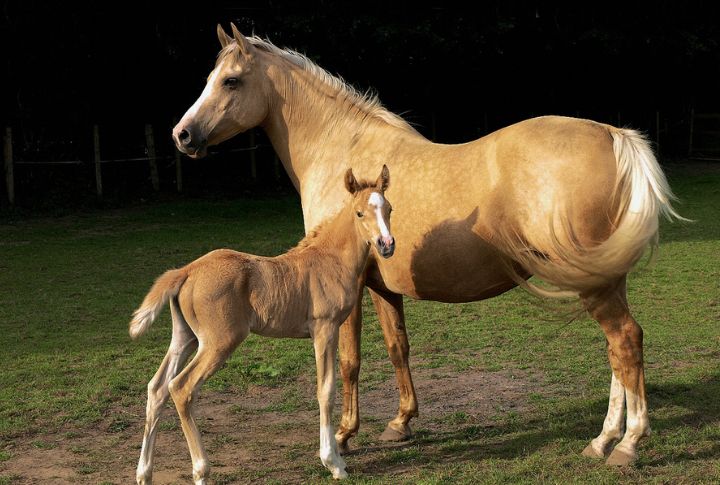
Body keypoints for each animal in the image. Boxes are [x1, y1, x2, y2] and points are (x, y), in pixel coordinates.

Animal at [129, 165, 395, 483]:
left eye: (389, 209)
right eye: (359, 213)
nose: (386, 245)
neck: (330, 260)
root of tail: (186, 271)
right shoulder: (324, 329)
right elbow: (326, 390)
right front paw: (334, 463)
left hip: (186, 337)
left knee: (157, 388)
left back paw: (144, 473)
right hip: (219, 341)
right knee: (181, 388)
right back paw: (201, 471)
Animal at [171, 23, 686, 467]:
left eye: (231, 80)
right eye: (209, 78)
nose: (183, 135)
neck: (343, 149)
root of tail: (612, 135)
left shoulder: (347, 293)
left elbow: (349, 361)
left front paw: (345, 435)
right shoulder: (383, 286)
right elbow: (398, 347)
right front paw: (400, 423)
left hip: (595, 284)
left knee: (625, 342)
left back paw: (627, 445)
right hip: (604, 279)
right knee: (618, 353)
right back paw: (603, 440)